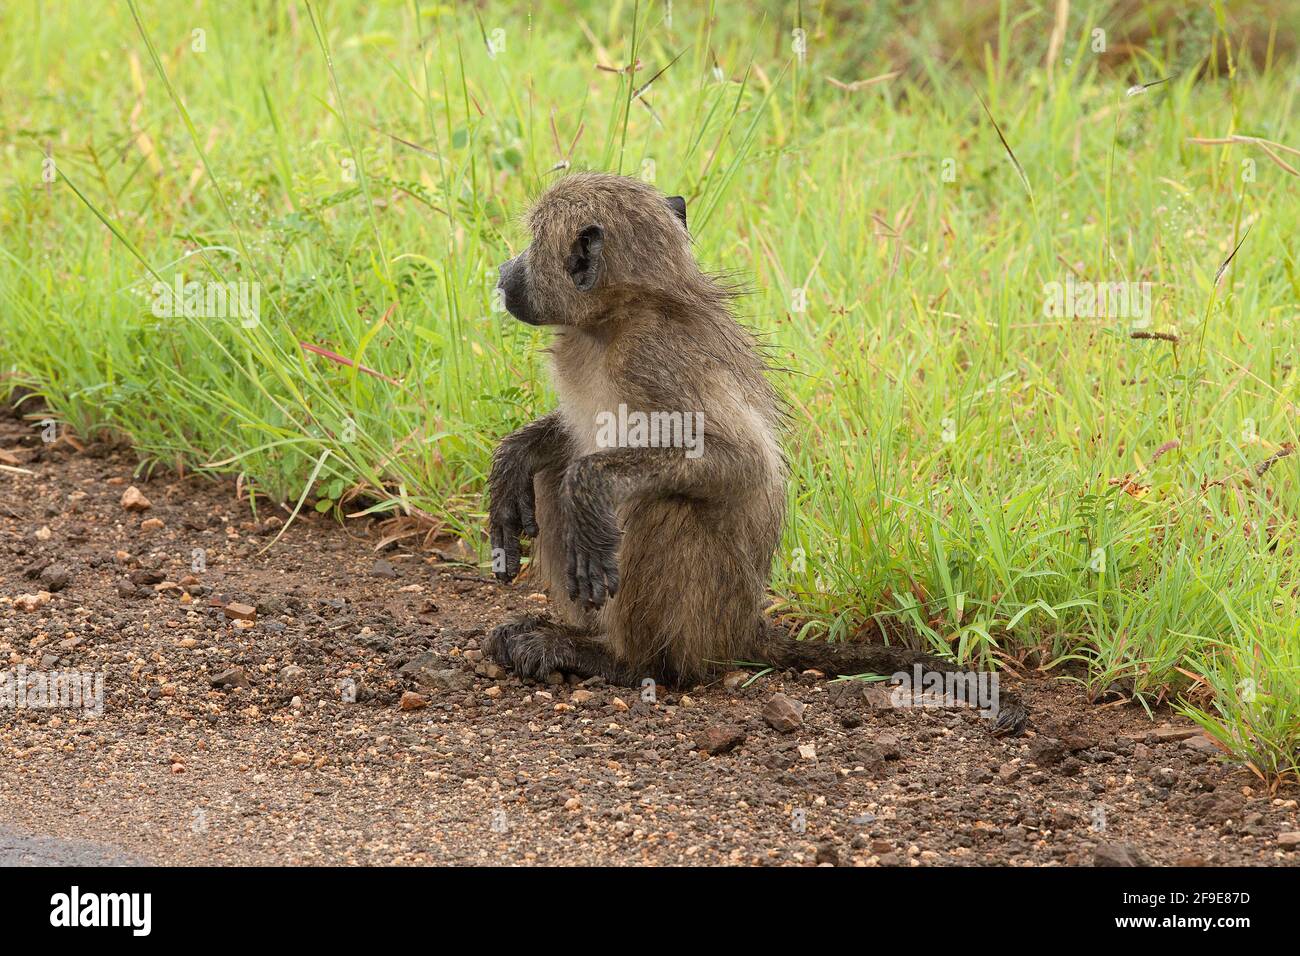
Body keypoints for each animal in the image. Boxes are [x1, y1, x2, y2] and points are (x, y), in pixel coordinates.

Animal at [485, 172, 1025, 736]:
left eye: (531, 243)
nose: (503, 271)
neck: (614, 319)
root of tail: (744, 626)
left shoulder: (653, 360)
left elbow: (741, 462)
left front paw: (591, 485)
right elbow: (568, 441)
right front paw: (514, 458)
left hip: (709, 616)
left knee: (663, 509)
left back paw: (618, 659)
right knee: (555, 477)